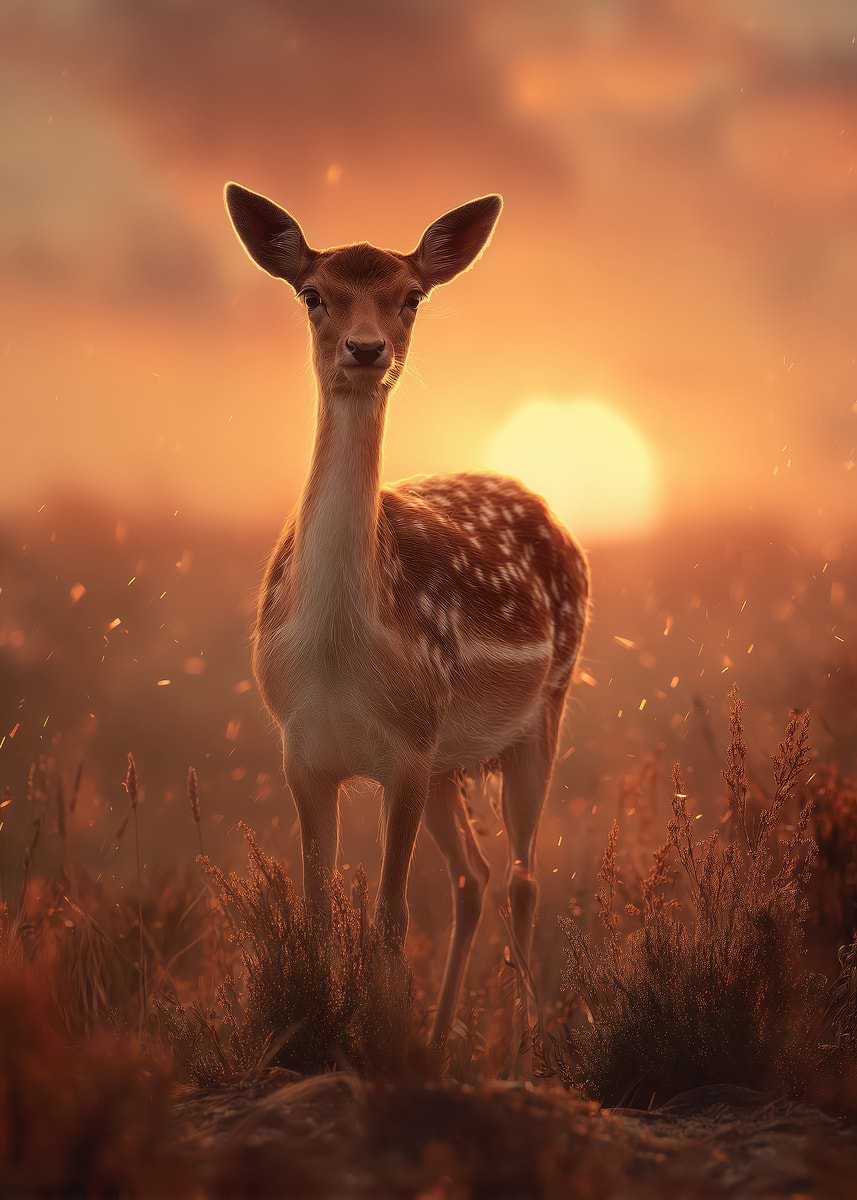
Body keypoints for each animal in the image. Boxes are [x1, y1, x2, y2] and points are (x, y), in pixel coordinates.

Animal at [224, 182, 590, 1050]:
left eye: (411, 296)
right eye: (312, 292)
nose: (367, 350)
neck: (339, 652)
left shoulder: (409, 748)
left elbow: (389, 917)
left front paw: (380, 1042)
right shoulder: (301, 750)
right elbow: (317, 910)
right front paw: (332, 1035)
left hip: (541, 711)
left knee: (522, 876)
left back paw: (522, 1047)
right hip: (457, 762)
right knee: (472, 877)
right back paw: (441, 1043)